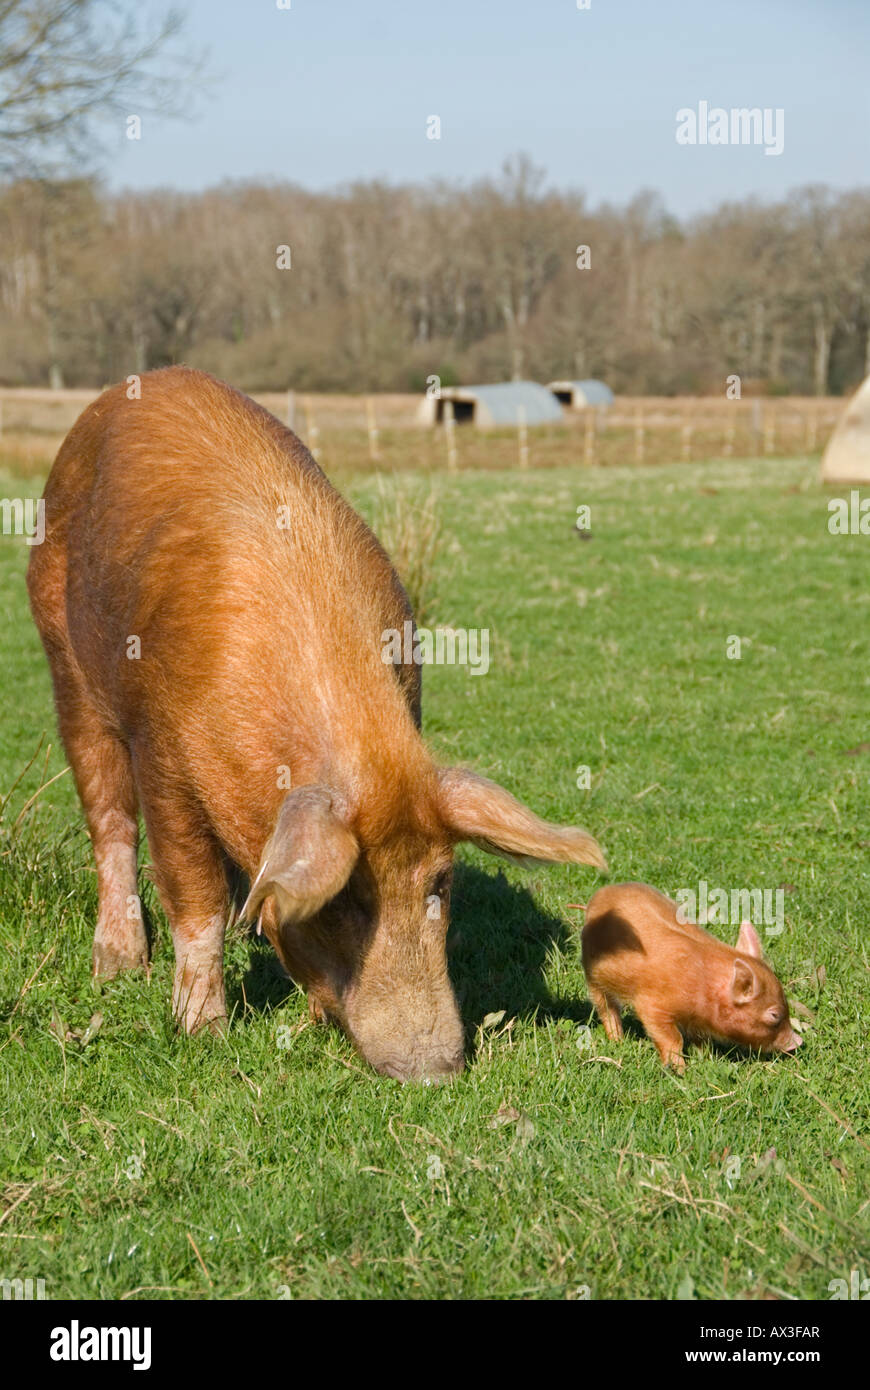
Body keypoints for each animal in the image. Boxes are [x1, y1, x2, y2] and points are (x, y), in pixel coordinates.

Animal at [27, 366, 606, 1082]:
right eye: (345, 900)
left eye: (440, 884)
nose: (435, 1069)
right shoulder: (160, 750)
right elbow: (194, 893)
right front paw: (202, 1032)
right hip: (65, 659)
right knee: (107, 815)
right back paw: (117, 966)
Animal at [581, 882, 801, 1072]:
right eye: (774, 1015)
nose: (798, 1042)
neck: (704, 988)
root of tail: (603, 892)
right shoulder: (652, 1006)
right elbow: (671, 1038)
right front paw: (680, 1071)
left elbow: (701, 1040)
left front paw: (706, 1060)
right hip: (592, 975)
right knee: (606, 1008)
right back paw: (618, 1040)